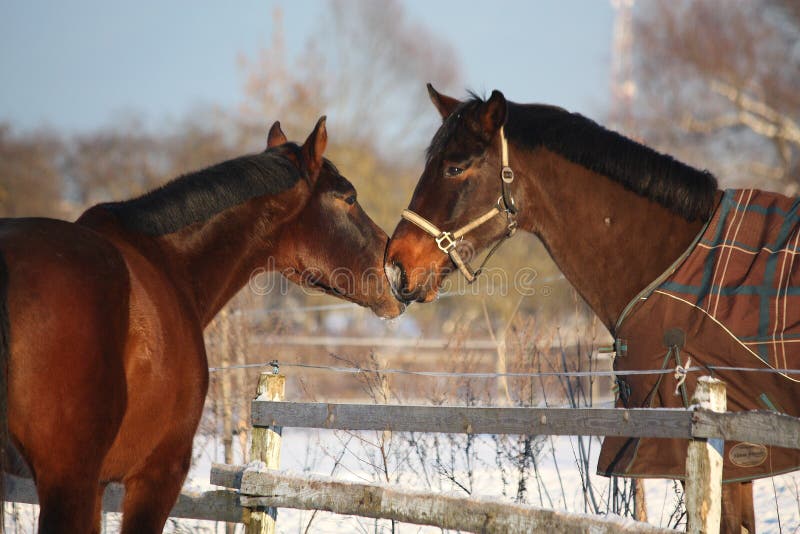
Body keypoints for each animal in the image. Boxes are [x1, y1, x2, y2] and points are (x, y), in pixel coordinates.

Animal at [0, 117, 403, 533]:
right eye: (349, 198)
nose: (398, 272)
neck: (166, 263)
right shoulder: (158, 472)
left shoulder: (100, 484)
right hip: (68, 480)